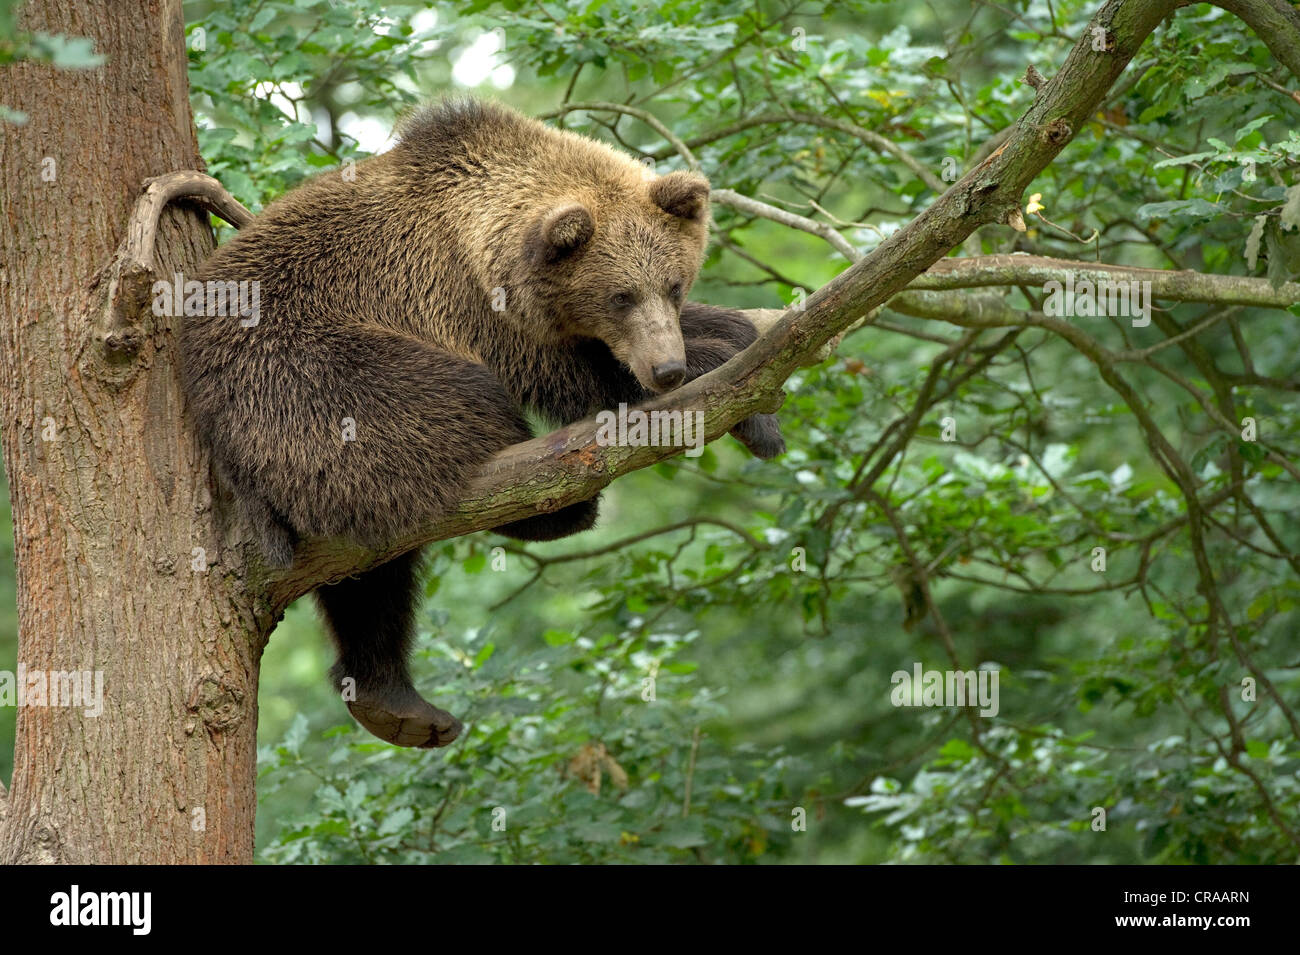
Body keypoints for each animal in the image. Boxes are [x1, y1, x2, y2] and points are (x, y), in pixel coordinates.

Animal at [180, 97, 784, 748]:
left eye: (673, 284)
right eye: (620, 295)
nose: (666, 369)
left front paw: (737, 351)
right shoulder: (470, 306)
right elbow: (583, 381)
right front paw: (730, 390)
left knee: (363, 555)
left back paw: (392, 698)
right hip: (319, 377)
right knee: (426, 450)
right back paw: (561, 510)